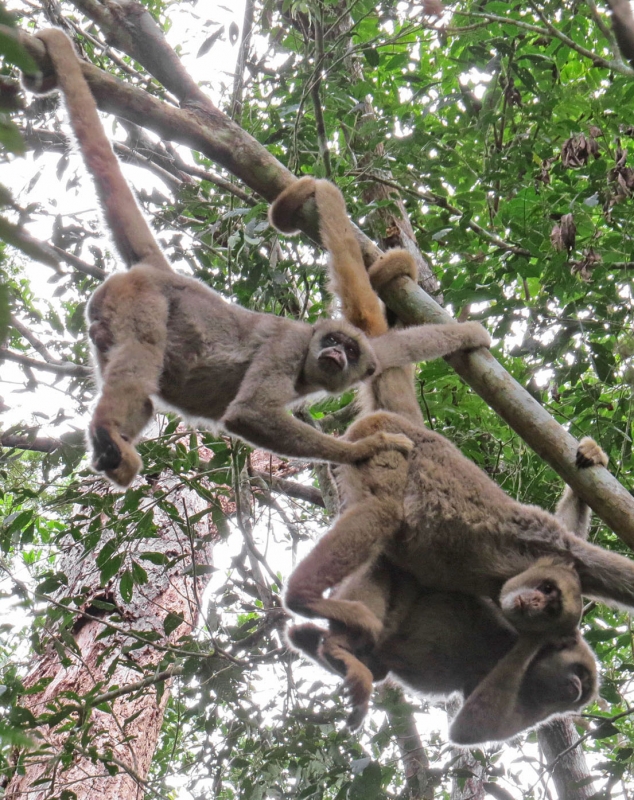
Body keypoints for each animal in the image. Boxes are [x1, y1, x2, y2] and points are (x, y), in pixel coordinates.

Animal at [24, 30, 492, 487]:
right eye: (332, 342)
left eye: (350, 350)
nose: (336, 354)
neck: (306, 361)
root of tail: (159, 274)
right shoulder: (287, 347)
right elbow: (249, 415)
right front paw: (367, 449)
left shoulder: (365, 354)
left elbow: (400, 347)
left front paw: (468, 334)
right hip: (139, 297)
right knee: (143, 350)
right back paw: (107, 430)